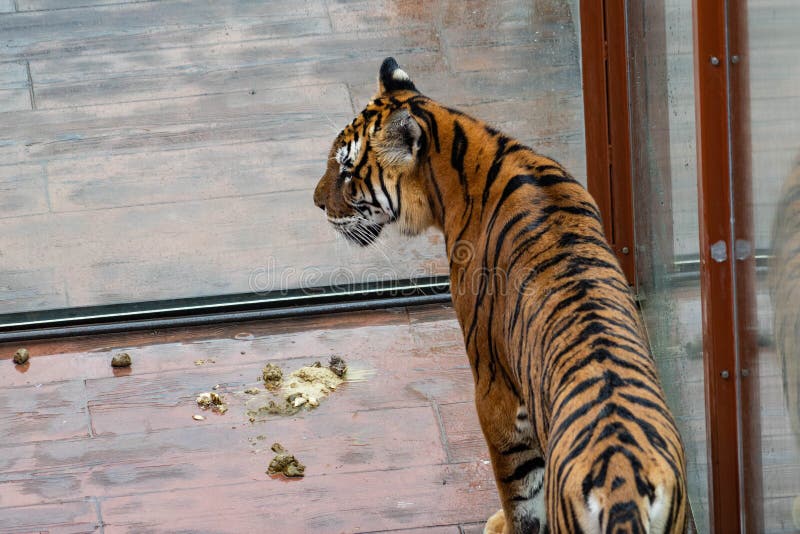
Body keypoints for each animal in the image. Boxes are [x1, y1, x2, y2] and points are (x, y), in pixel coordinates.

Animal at [313, 57, 687, 533]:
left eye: (346, 169)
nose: (317, 203)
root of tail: (620, 485)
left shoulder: (493, 386)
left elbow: (519, 494)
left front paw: (502, 524)